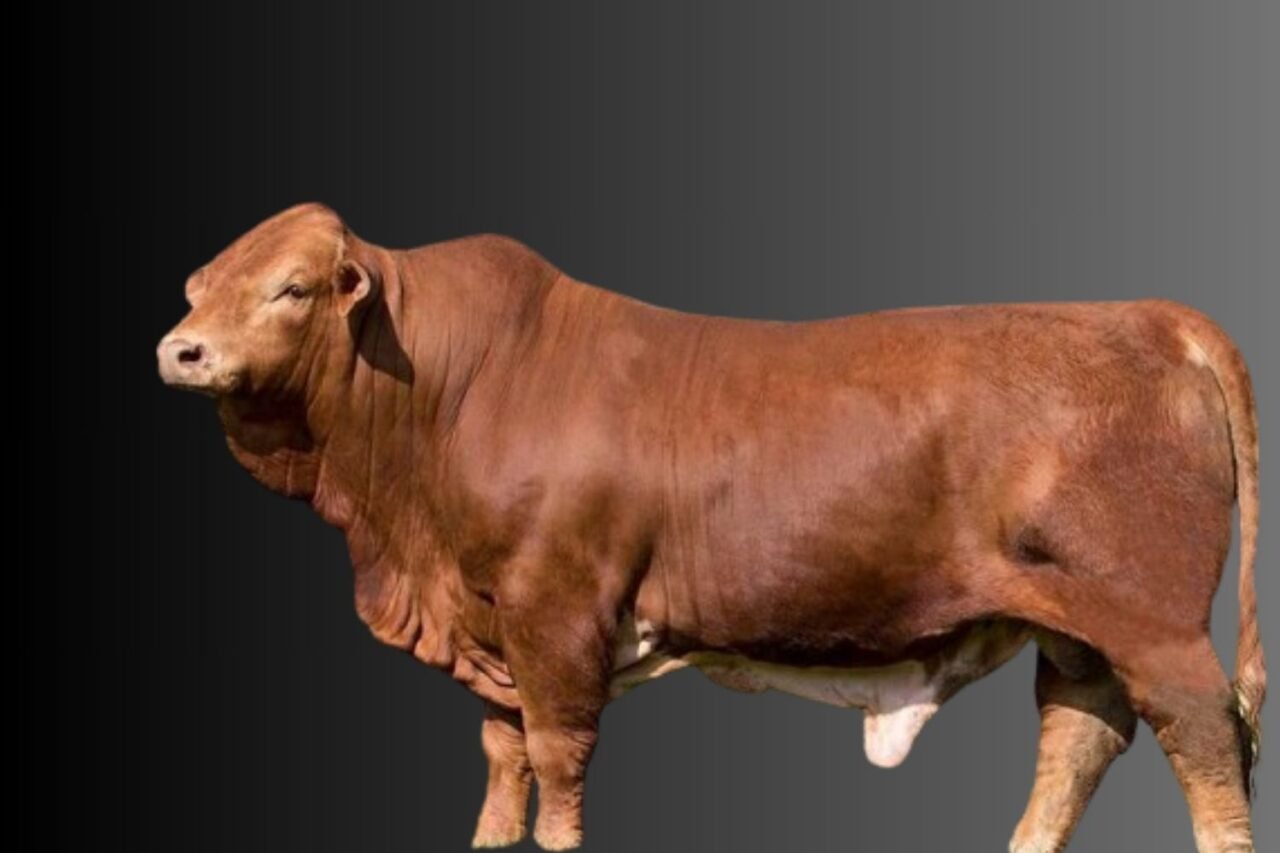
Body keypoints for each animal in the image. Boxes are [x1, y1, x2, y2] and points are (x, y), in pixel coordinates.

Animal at [157, 202, 1263, 852]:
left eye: (293, 287)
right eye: (198, 285)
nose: (182, 350)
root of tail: (1147, 314)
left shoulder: (555, 608)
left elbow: (555, 762)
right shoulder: (493, 622)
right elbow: (502, 756)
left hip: (1152, 619)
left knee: (1206, 747)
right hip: (1075, 626)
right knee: (1077, 737)